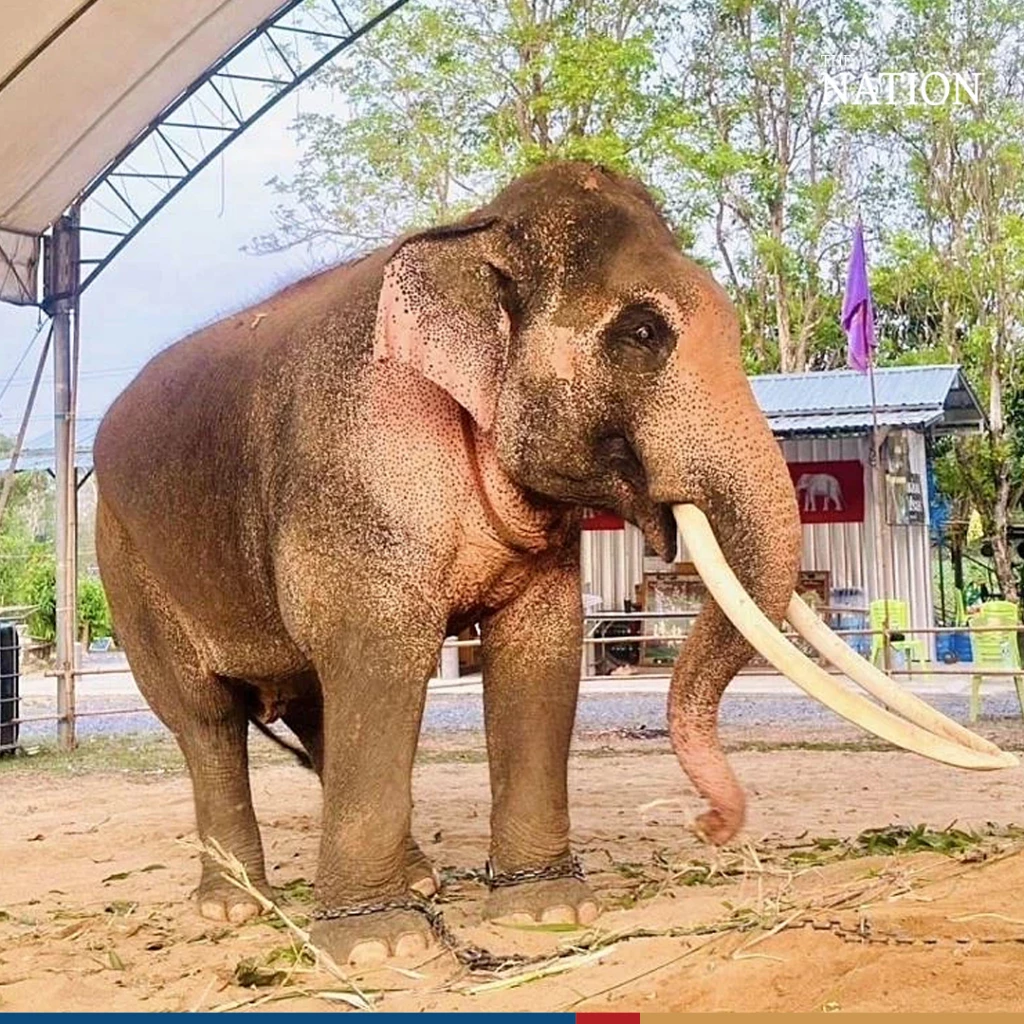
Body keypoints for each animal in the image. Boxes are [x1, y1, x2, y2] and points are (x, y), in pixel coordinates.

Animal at [94, 161, 1012, 967]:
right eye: (643, 333)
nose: (711, 829)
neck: (475, 236)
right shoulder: (355, 474)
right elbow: (380, 654)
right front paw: (382, 949)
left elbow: (539, 649)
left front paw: (546, 914)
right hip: (129, 565)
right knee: (207, 720)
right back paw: (238, 907)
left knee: (316, 708)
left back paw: (416, 880)